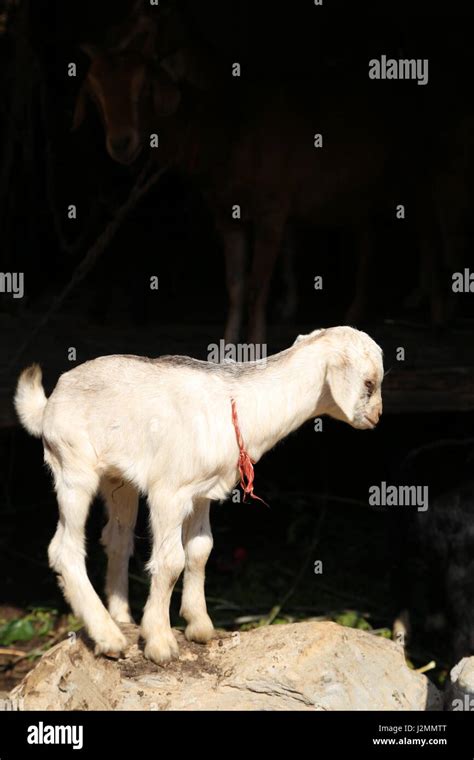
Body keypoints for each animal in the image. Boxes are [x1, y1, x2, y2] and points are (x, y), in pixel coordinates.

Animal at [15, 326, 383, 664]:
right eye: (369, 383)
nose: (377, 417)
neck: (238, 404)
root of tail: (48, 404)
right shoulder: (169, 493)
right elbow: (170, 561)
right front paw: (160, 643)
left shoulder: (202, 494)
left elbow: (200, 551)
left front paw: (199, 625)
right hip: (74, 470)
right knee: (65, 549)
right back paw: (109, 637)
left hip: (119, 481)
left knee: (117, 539)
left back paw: (121, 619)